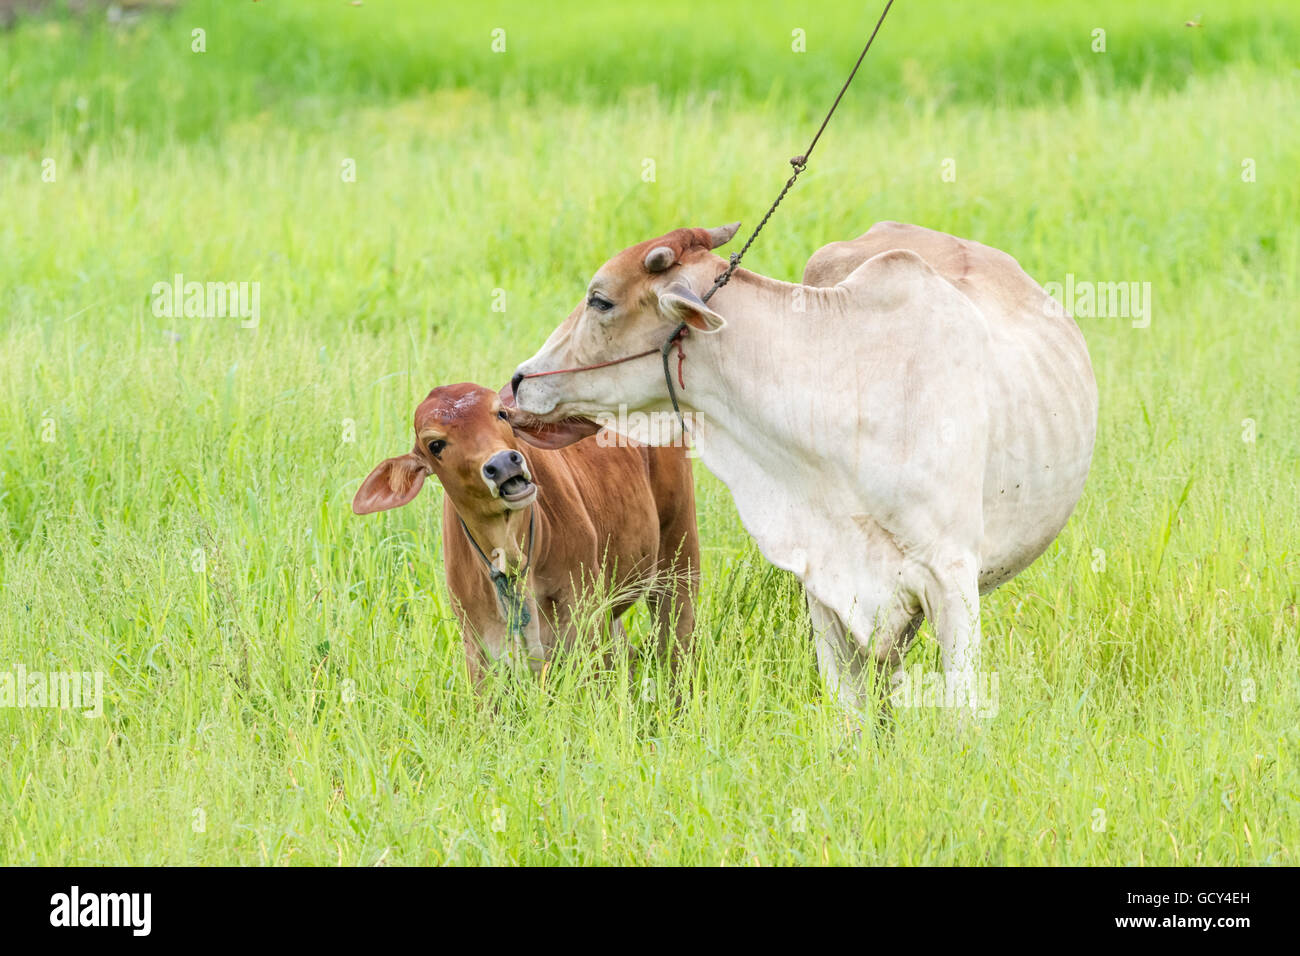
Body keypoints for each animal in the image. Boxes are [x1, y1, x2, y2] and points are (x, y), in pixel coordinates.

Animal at [352, 383, 699, 688]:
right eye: (435, 444)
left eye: (501, 414)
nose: (503, 463)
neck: (511, 559)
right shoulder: (479, 653)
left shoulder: (584, 625)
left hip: (678, 552)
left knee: (677, 645)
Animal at [507, 221, 1098, 715]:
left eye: (600, 300)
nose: (518, 380)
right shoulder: (825, 584)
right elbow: (851, 713)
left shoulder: (952, 579)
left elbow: (963, 714)